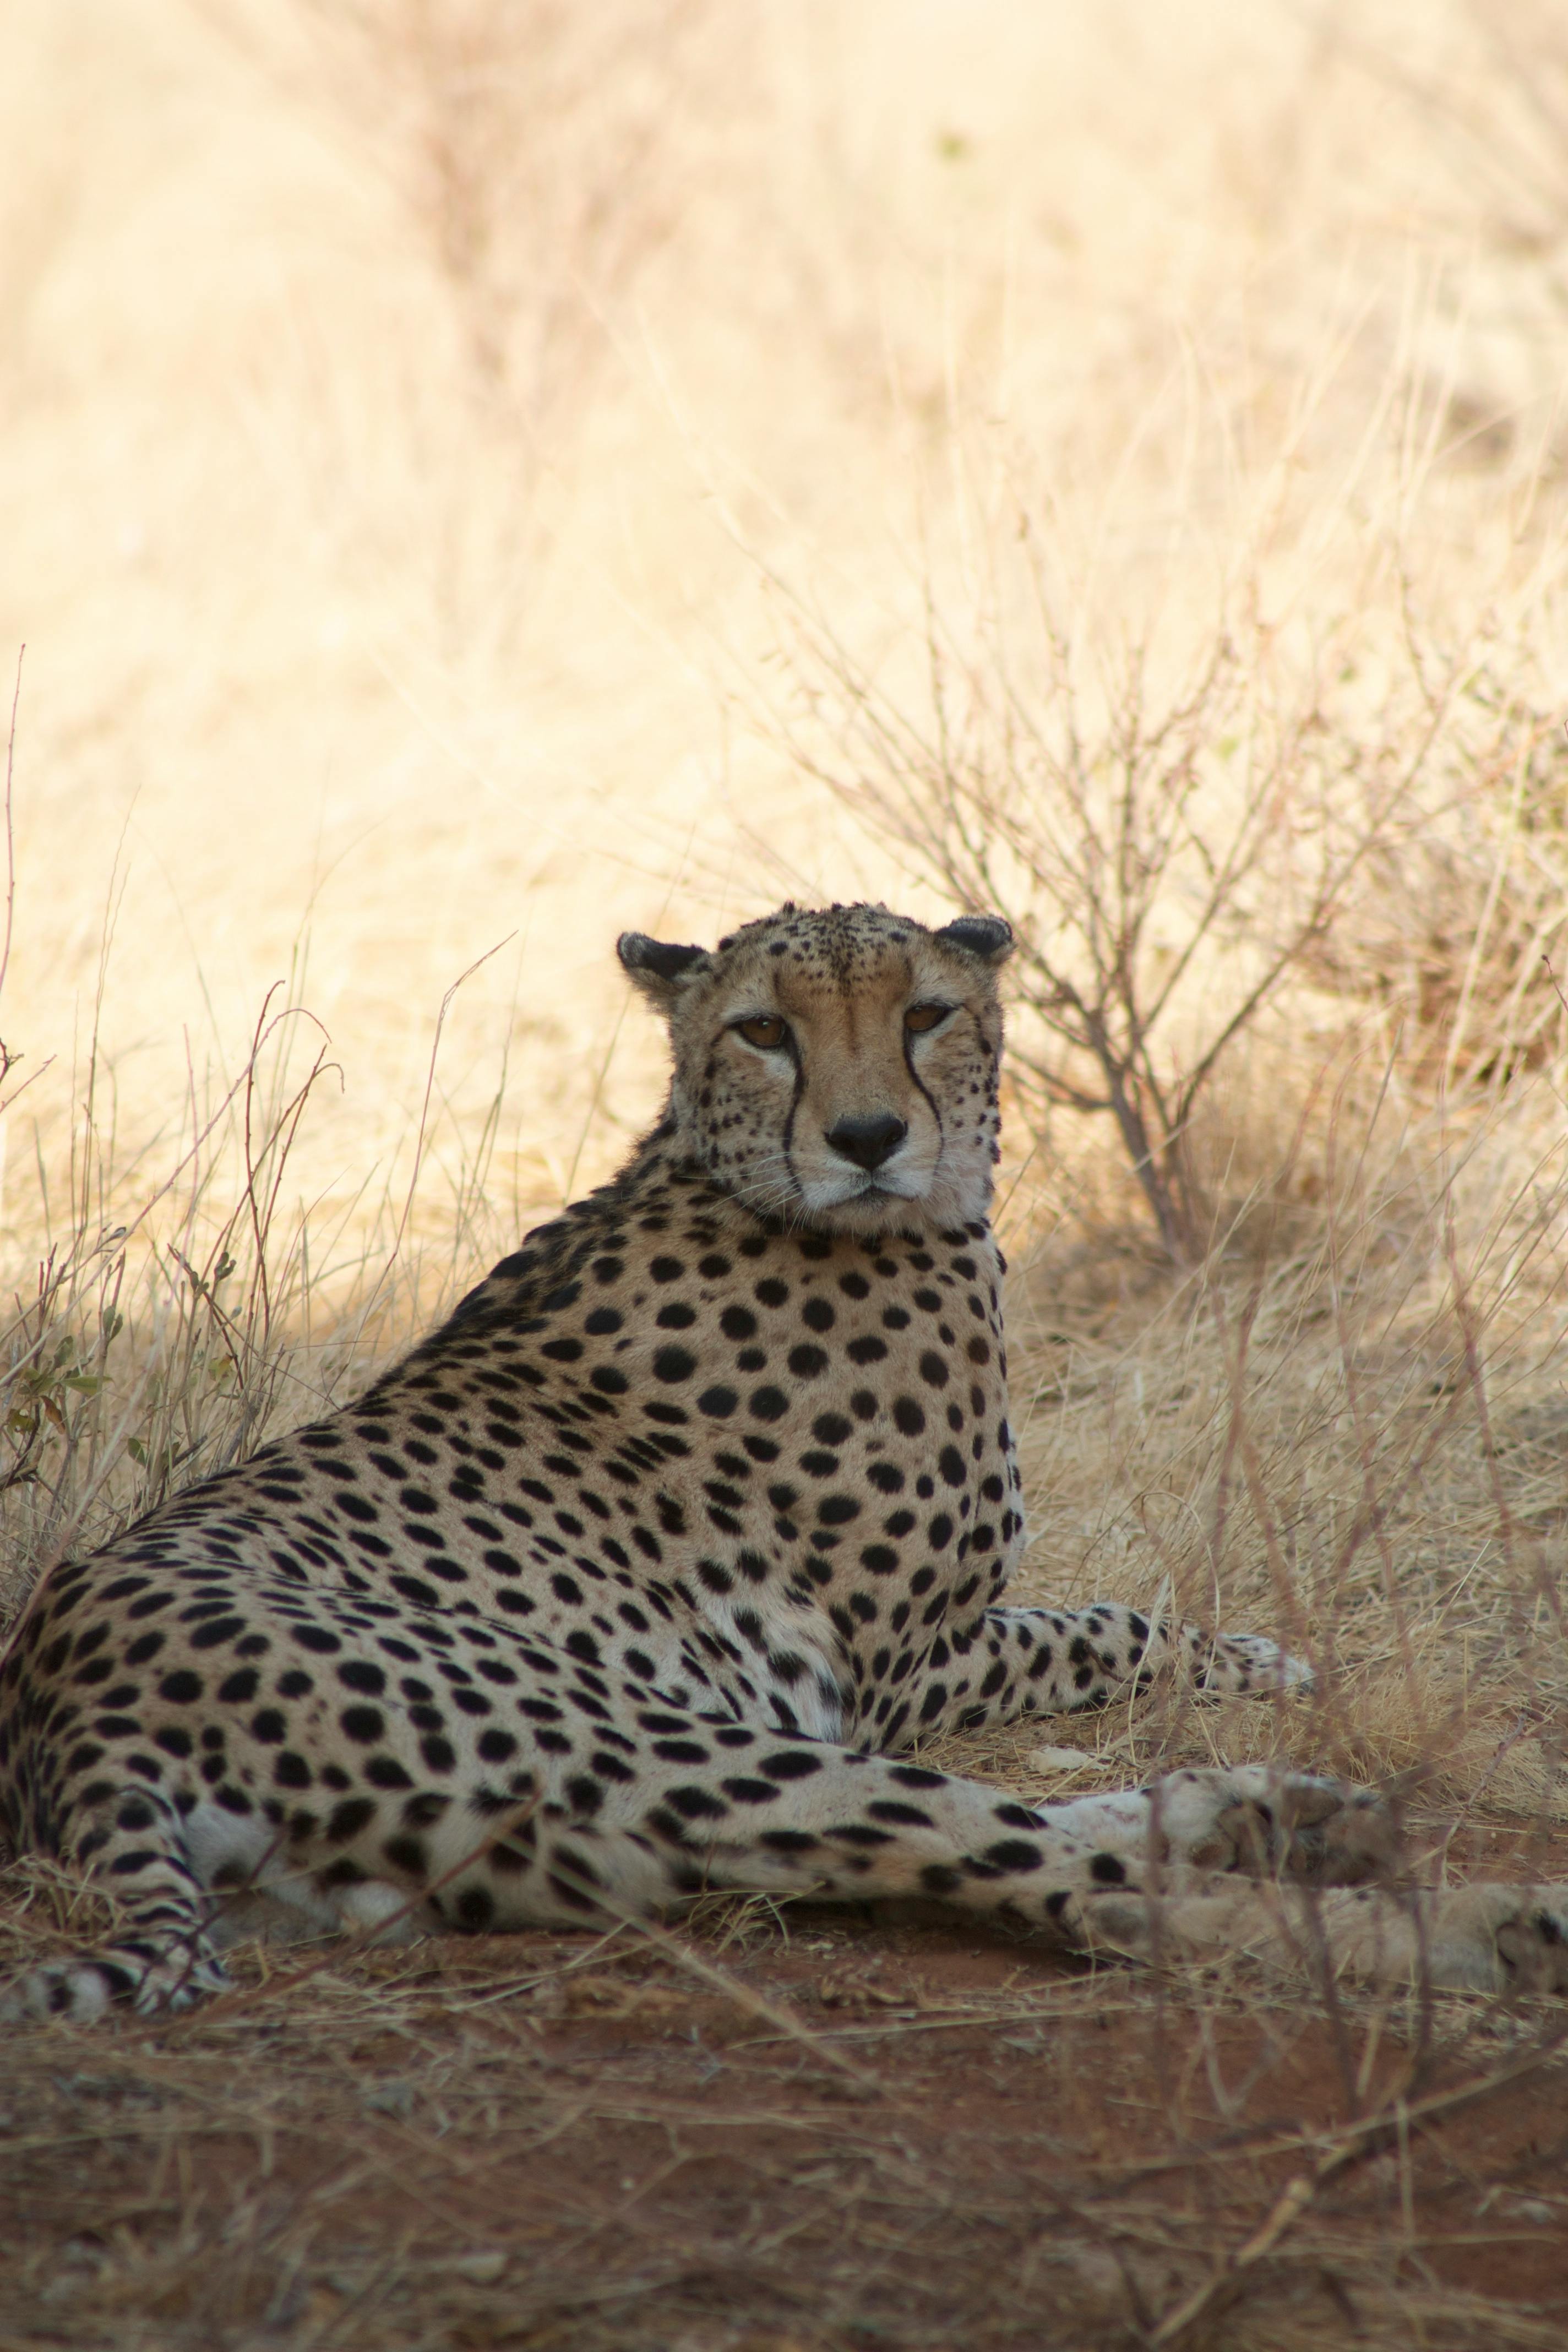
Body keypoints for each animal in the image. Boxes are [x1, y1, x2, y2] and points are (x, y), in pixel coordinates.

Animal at [3, 899, 1566, 2022]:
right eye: (762, 1029)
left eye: (926, 1014)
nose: (866, 1136)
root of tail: (57, 1698)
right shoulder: (893, 1669)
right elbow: (1101, 1620)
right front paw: (1253, 1664)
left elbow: (1104, 1617)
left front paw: (1255, 1686)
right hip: (646, 1745)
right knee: (1058, 1878)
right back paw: (1469, 1921)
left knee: (1019, 1851)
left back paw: (1272, 1809)